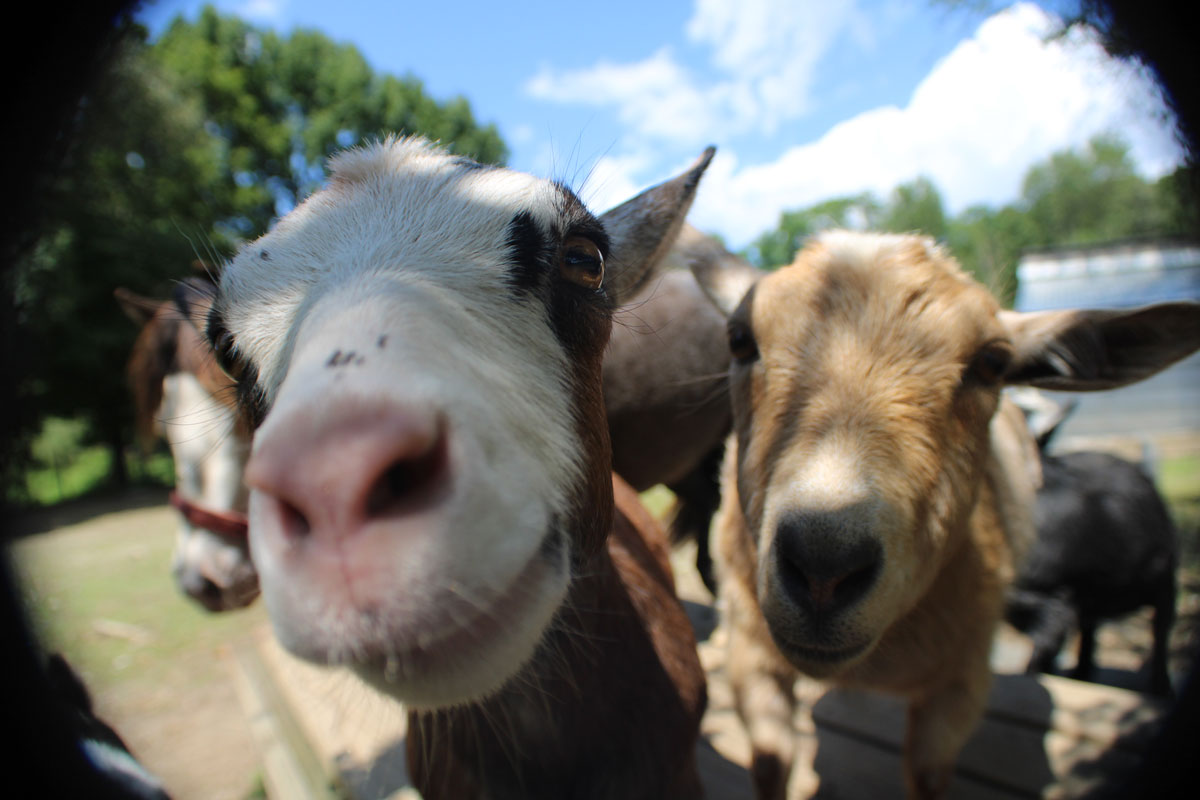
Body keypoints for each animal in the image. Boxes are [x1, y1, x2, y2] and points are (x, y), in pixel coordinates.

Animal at [1006, 393, 1178, 696]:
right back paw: (1081, 673)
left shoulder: (1053, 603)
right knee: (1089, 631)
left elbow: (1038, 660)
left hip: (1164, 577)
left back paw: (1161, 688)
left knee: (1160, 630)